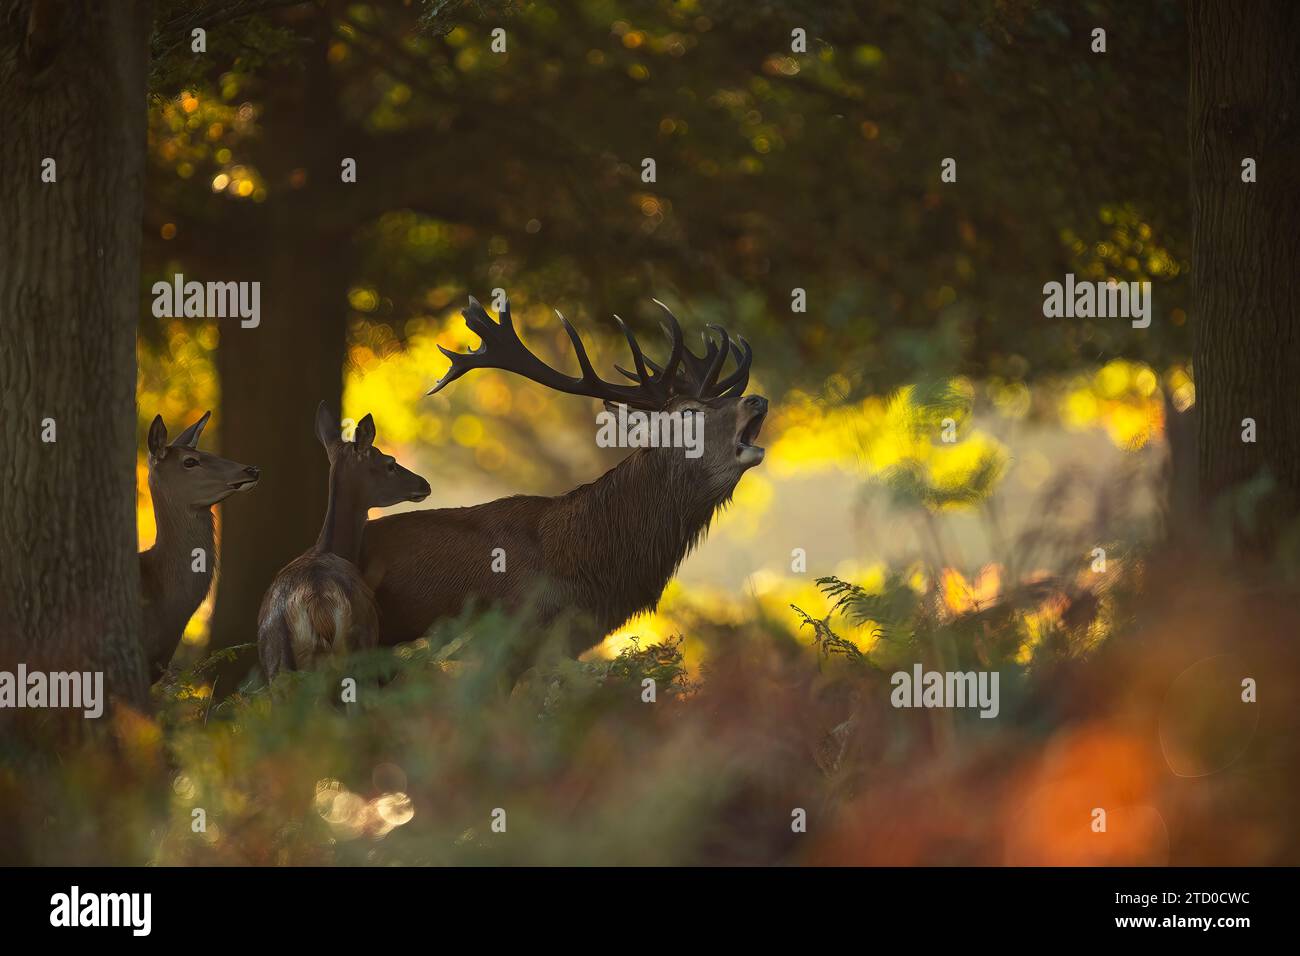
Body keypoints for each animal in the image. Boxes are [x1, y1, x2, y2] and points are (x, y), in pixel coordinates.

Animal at [258, 403, 431, 681]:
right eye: (390, 464)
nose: (424, 484)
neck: (331, 548)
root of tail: (316, 601)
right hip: (357, 647)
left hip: (277, 661)